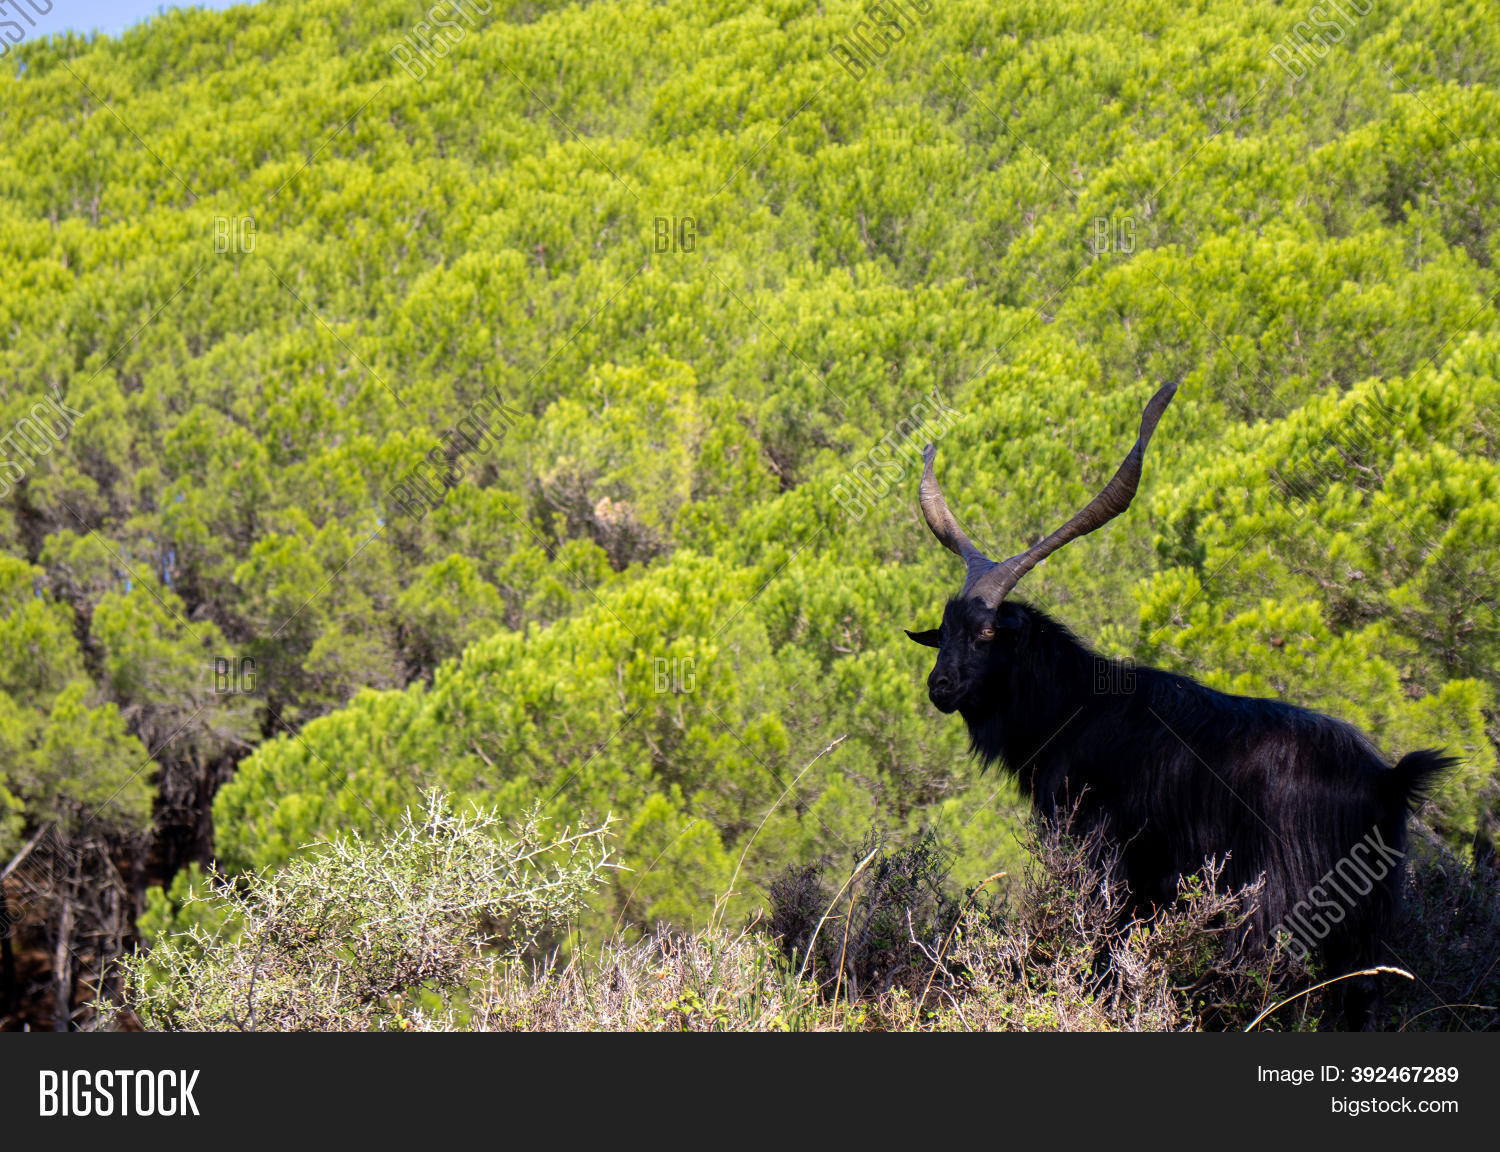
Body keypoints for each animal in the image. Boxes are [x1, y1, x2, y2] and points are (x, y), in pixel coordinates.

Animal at [906, 382, 1452, 1029]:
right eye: (944, 630)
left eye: (988, 633)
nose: (940, 687)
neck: (1075, 707)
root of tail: (1389, 780)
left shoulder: (1102, 855)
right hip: (1363, 922)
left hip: (1279, 899)